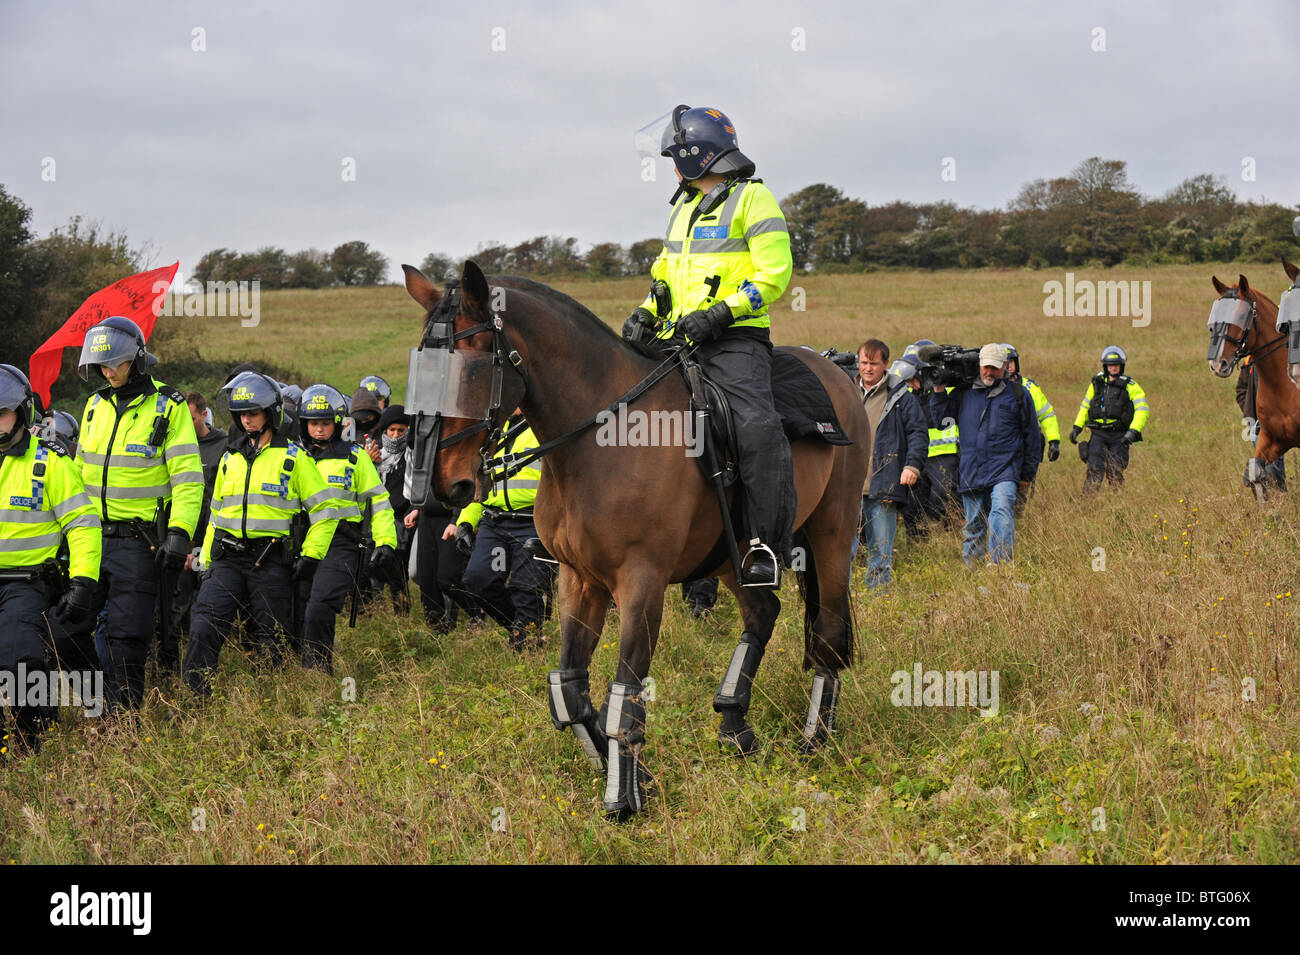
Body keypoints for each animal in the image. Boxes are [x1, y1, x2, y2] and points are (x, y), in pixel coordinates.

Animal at [402, 260, 870, 819]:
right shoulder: (579, 580)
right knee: (764, 614)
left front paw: (623, 799)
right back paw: (735, 726)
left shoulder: (640, 583)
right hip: (732, 556)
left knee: (829, 631)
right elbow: (570, 692)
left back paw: (816, 739)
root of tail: (838, 374)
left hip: (832, 534)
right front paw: (629, 772)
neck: (603, 438)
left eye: (470, 370)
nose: (433, 486)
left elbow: (624, 697)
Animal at [1206, 270, 1300, 498]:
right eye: (1215, 317)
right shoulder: (1272, 439)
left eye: (1241, 317)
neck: (1283, 386)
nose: (1217, 364)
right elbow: (1256, 473)